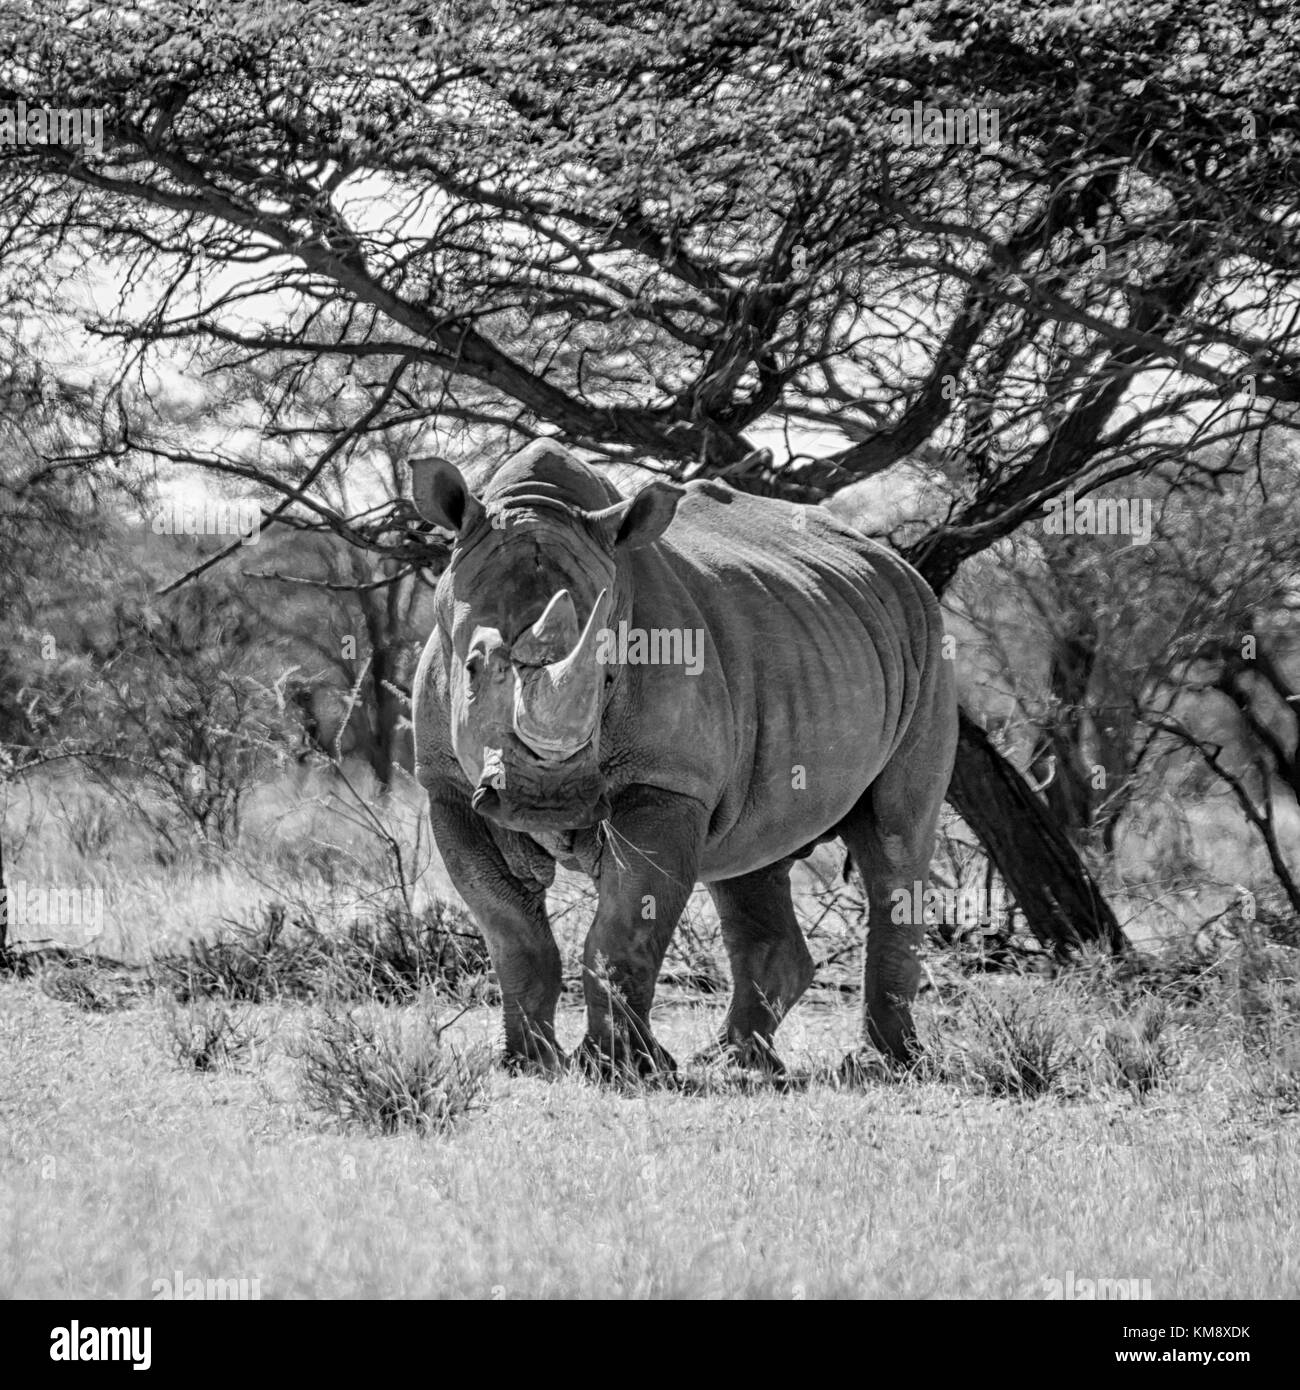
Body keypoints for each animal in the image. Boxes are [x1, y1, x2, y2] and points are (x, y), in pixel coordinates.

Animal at [411, 441, 957, 1077]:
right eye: (472, 670)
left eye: (610, 677)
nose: (546, 801)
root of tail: (900, 567)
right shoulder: (447, 786)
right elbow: (512, 931)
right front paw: (526, 1063)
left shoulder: (667, 780)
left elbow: (624, 926)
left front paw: (621, 1068)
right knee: (752, 854)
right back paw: (737, 1064)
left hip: (928, 639)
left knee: (894, 837)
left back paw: (882, 1065)